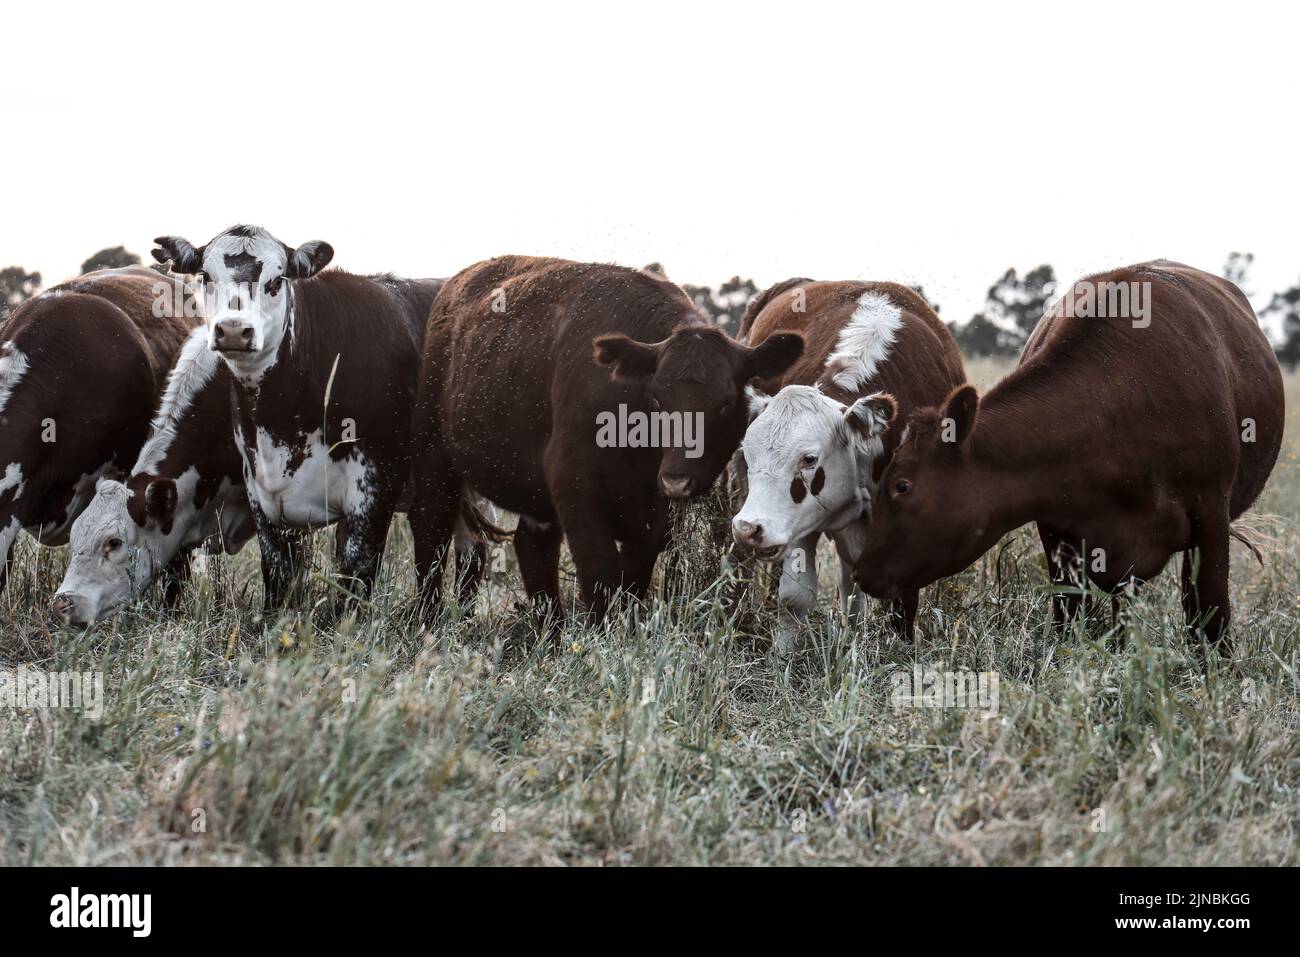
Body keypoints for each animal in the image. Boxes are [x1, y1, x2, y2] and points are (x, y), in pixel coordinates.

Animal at [147, 225, 448, 608]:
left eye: (276, 281)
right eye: (205, 277)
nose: (234, 330)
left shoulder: (374, 494)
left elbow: (354, 579)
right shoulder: (263, 493)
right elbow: (278, 575)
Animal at [409, 255, 804, 620]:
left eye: (724, 404)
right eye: (657, 399)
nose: (676, 481)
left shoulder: (651, 525)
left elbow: (630, 587)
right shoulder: (576, 493)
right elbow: (600, 579)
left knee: (533, 547)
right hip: (433, 455)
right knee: (430, 529)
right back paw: (426, 619)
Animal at [728, 279, 966, 652]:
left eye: (809, 459)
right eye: (749, 454)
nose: (748, 528)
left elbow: (898, 600)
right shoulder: (802, 520)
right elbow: (795, 596)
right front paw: (782, 656)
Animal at [852, 261, 1285, 656]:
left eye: (902, 486)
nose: (861, 572)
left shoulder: (1211, 511)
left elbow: (1210, 610)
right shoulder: (1057, 527)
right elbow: (1069, 608)